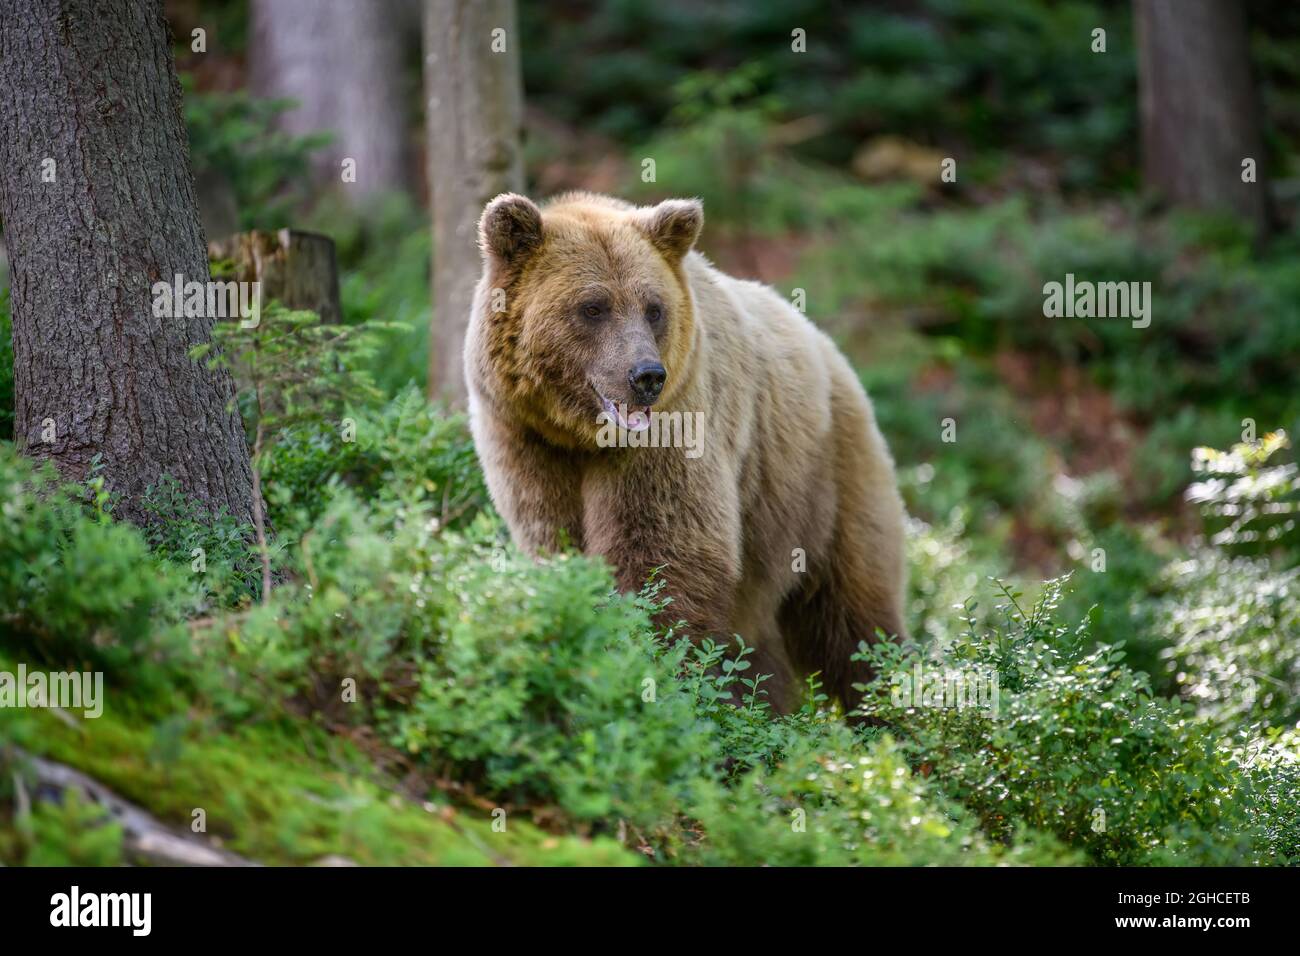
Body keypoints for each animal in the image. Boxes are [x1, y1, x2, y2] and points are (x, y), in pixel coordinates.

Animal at [464, 191, 907, 715]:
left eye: (653, 308)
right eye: (593, 307)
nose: (646, 375)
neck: (581, 436)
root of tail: (832, 352)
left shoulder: (675, 428)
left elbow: (664, 556)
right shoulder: (526, 439)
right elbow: (557, 539)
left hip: (825, 480)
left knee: (855, 618)